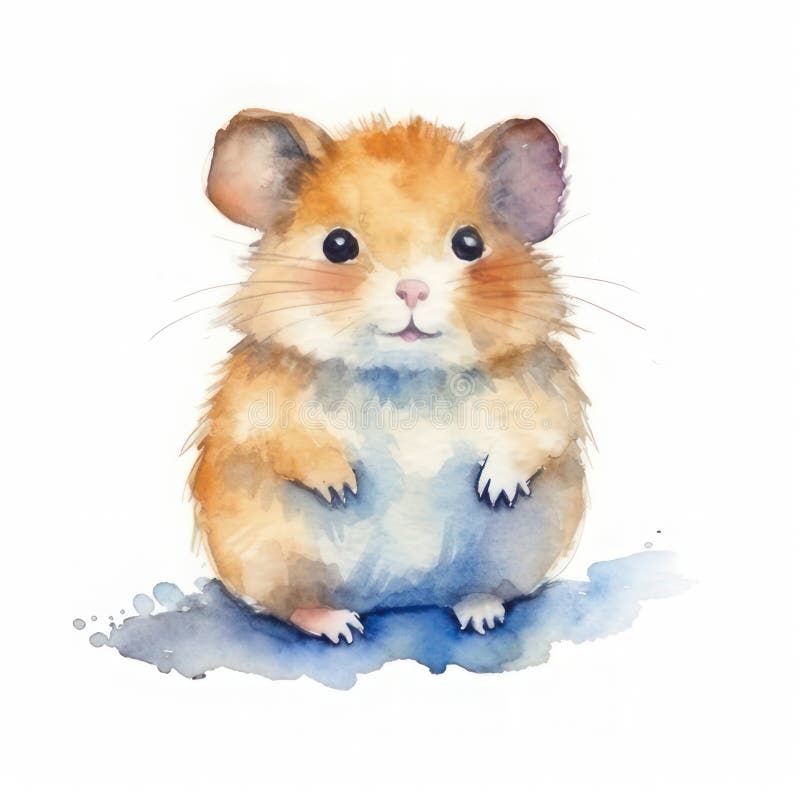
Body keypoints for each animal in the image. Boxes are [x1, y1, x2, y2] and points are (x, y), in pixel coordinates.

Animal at [189, 110, 588, 643]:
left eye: (470, 243)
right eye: (337, 245)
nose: (412, 289)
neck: (404, 375)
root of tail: (399, 598)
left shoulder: (546, 395)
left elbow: (534, 439)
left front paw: (495, 489)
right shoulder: (256, 410)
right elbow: (289, 443)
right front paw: (342, 488)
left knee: (478, 591)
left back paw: (480, 615)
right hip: (268, 560)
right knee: (294, 605)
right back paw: (340, 626)